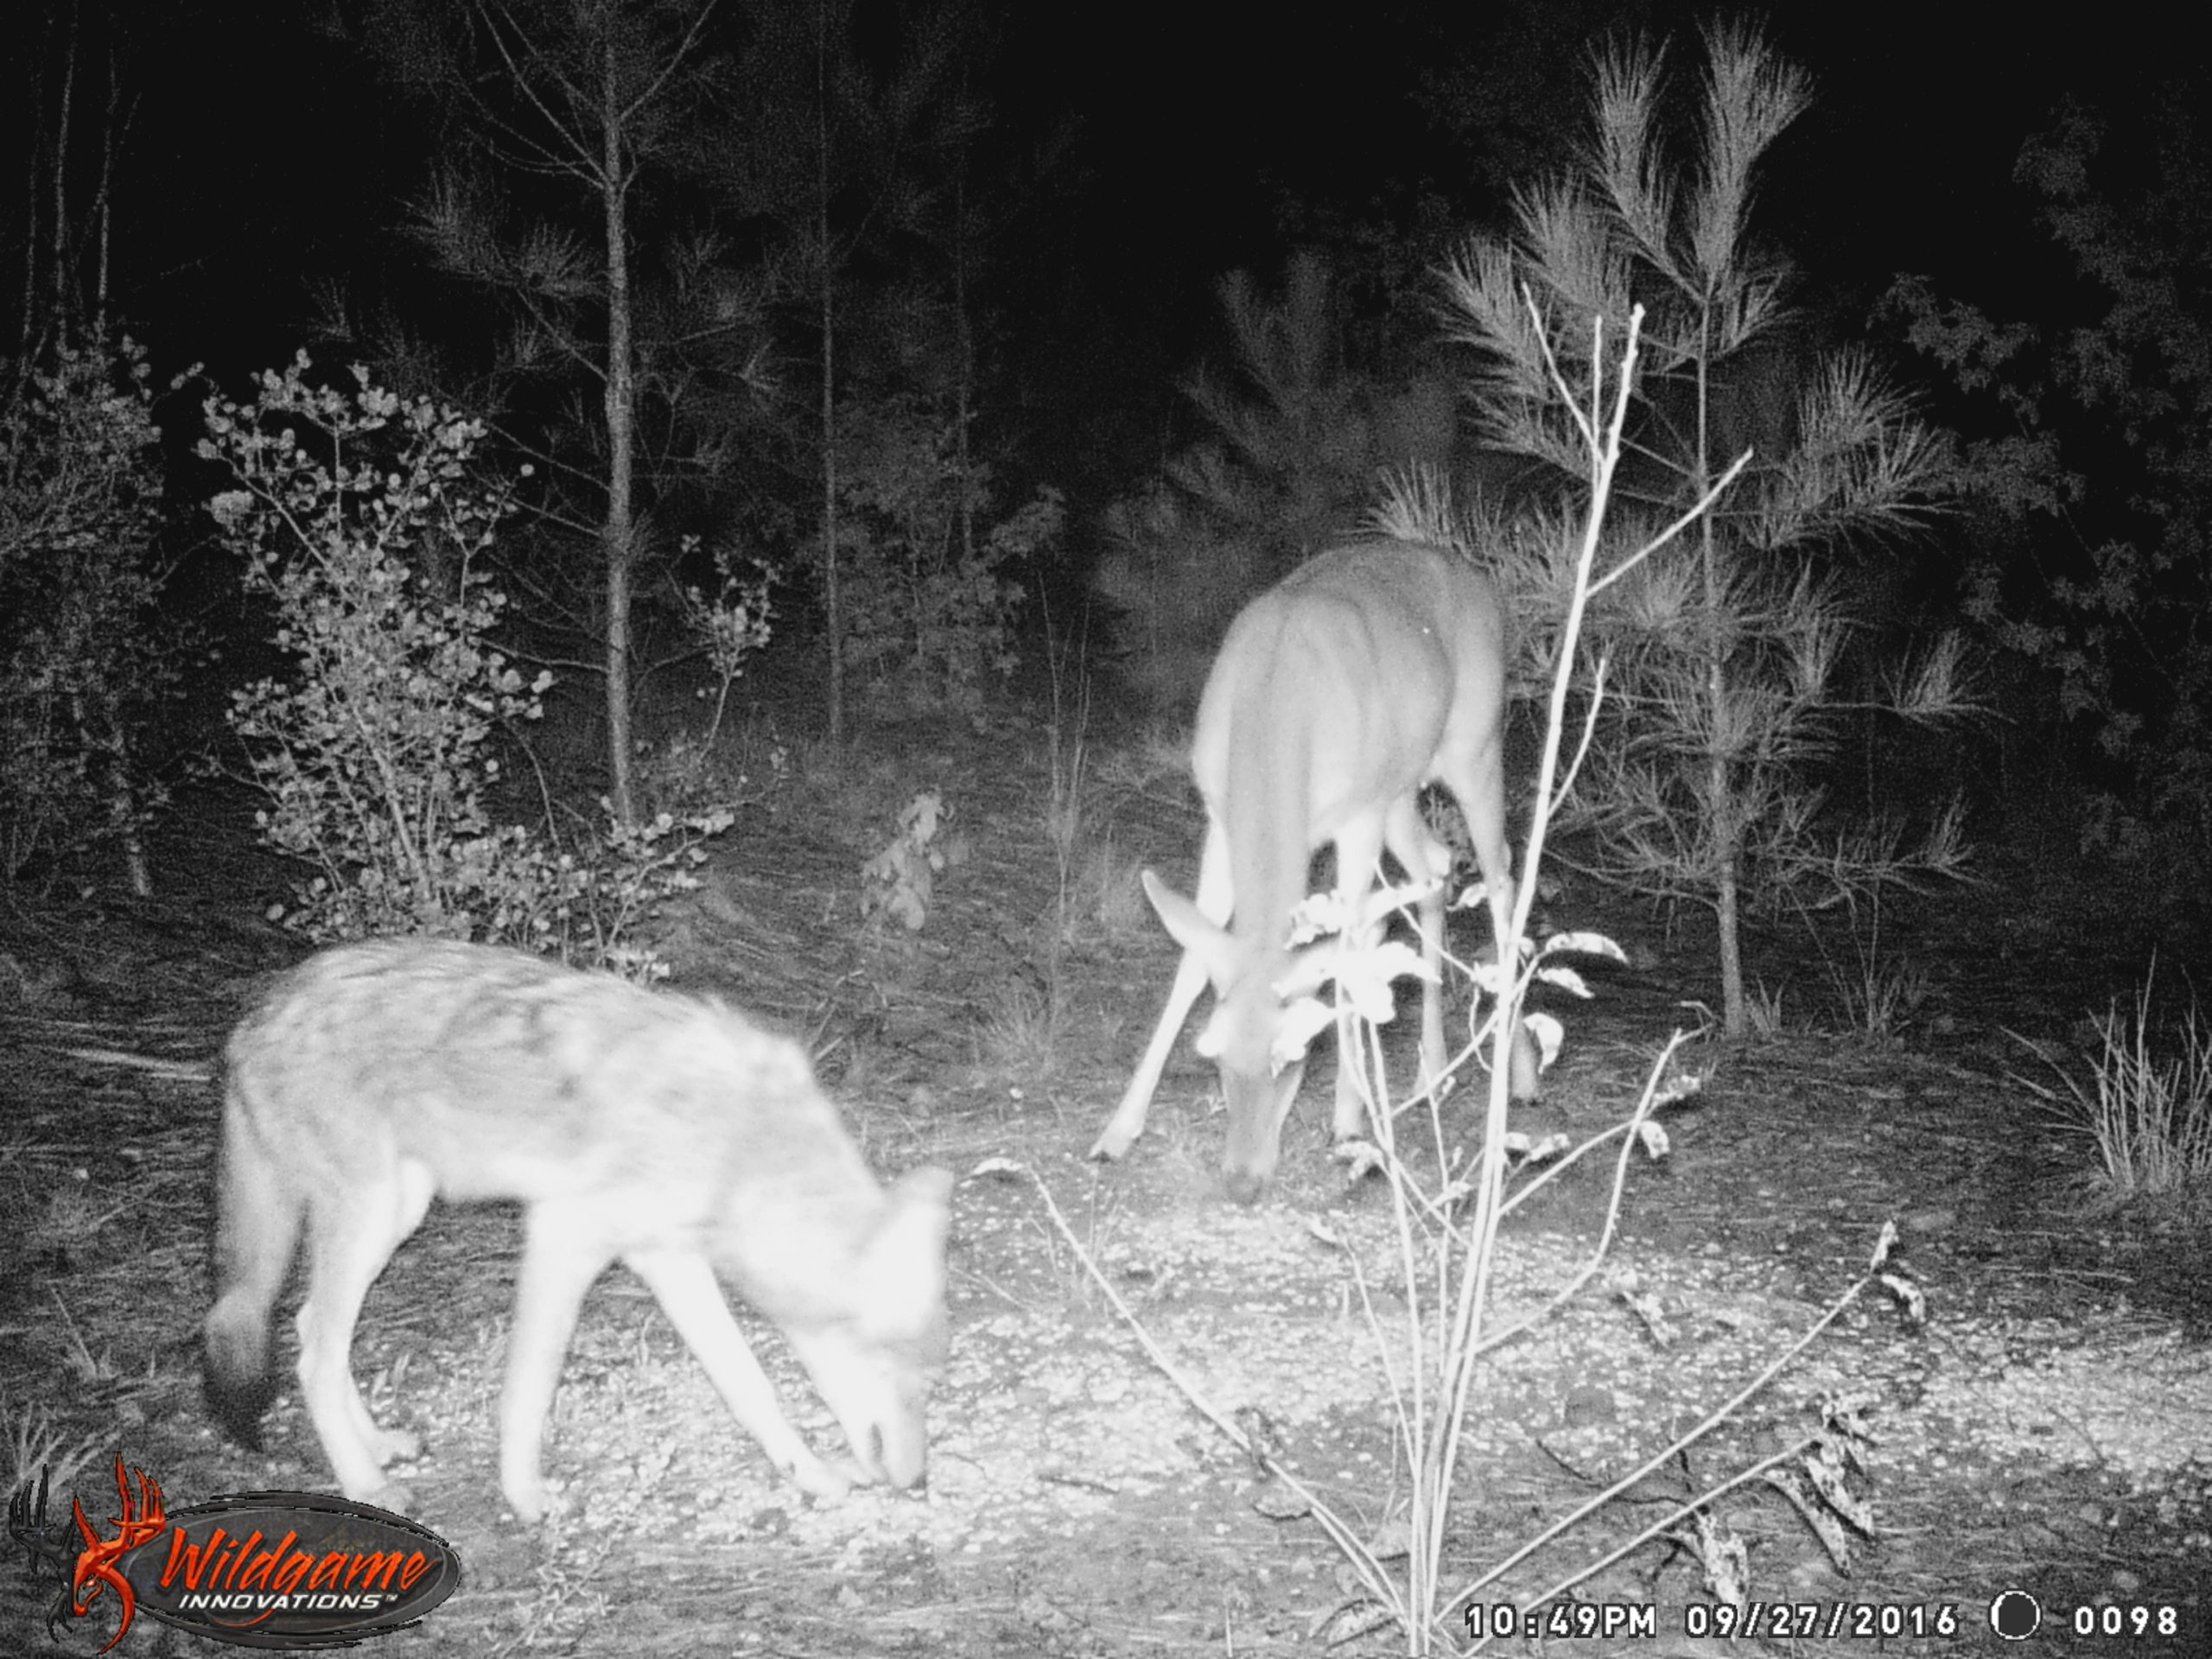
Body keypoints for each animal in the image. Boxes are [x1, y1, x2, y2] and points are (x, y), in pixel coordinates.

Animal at [1090, 538, 1541, 1203]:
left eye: (1295, 1059)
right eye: (1213, 1056)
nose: (1243, 1184)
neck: (1278, 706)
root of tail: (1485, 584)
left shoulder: (1357, 818)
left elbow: (1352, 948)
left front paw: (1348, 1122)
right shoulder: (1220, 817)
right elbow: (1195, 960)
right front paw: (1117, 1131)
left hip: (1474, 748)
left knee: (1503, 875)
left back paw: (1522, 1078)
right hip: (1401, 789)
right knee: (1436, 869)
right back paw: (1431, 1073)